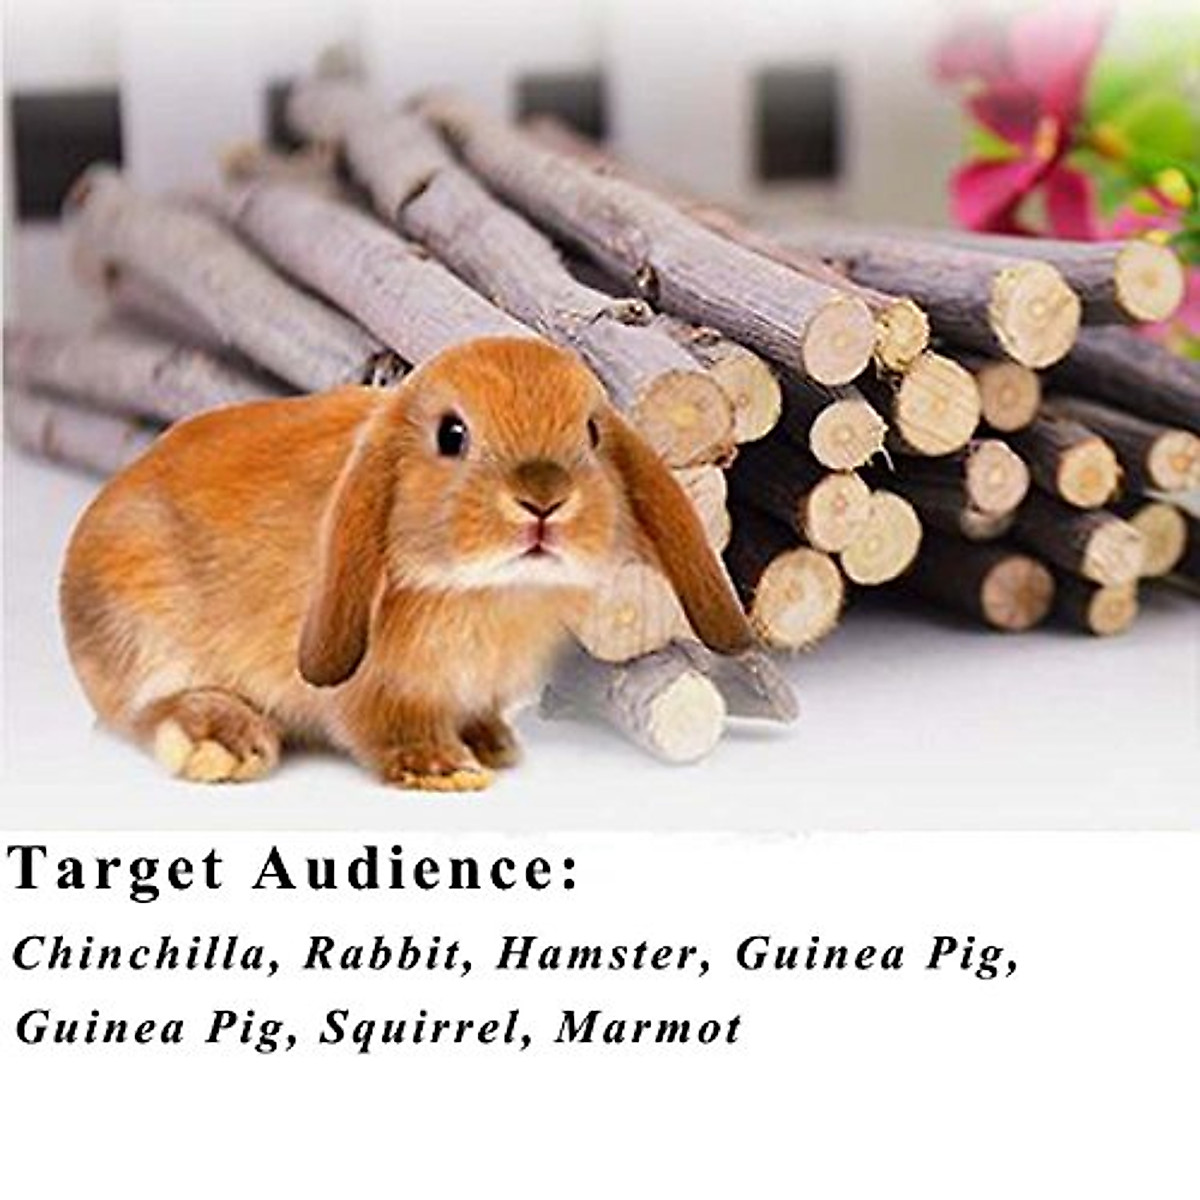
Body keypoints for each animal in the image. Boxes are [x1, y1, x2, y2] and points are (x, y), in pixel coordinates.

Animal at [61, 337, 753, 791]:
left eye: (591, 433)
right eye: (452, 434)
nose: (543, 498)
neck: (488, 591)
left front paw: (494, 746)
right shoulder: (379, 692)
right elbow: (390, 728)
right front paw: (446, 771)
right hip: (145, 629)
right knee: (145, 709)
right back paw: (224, 744)